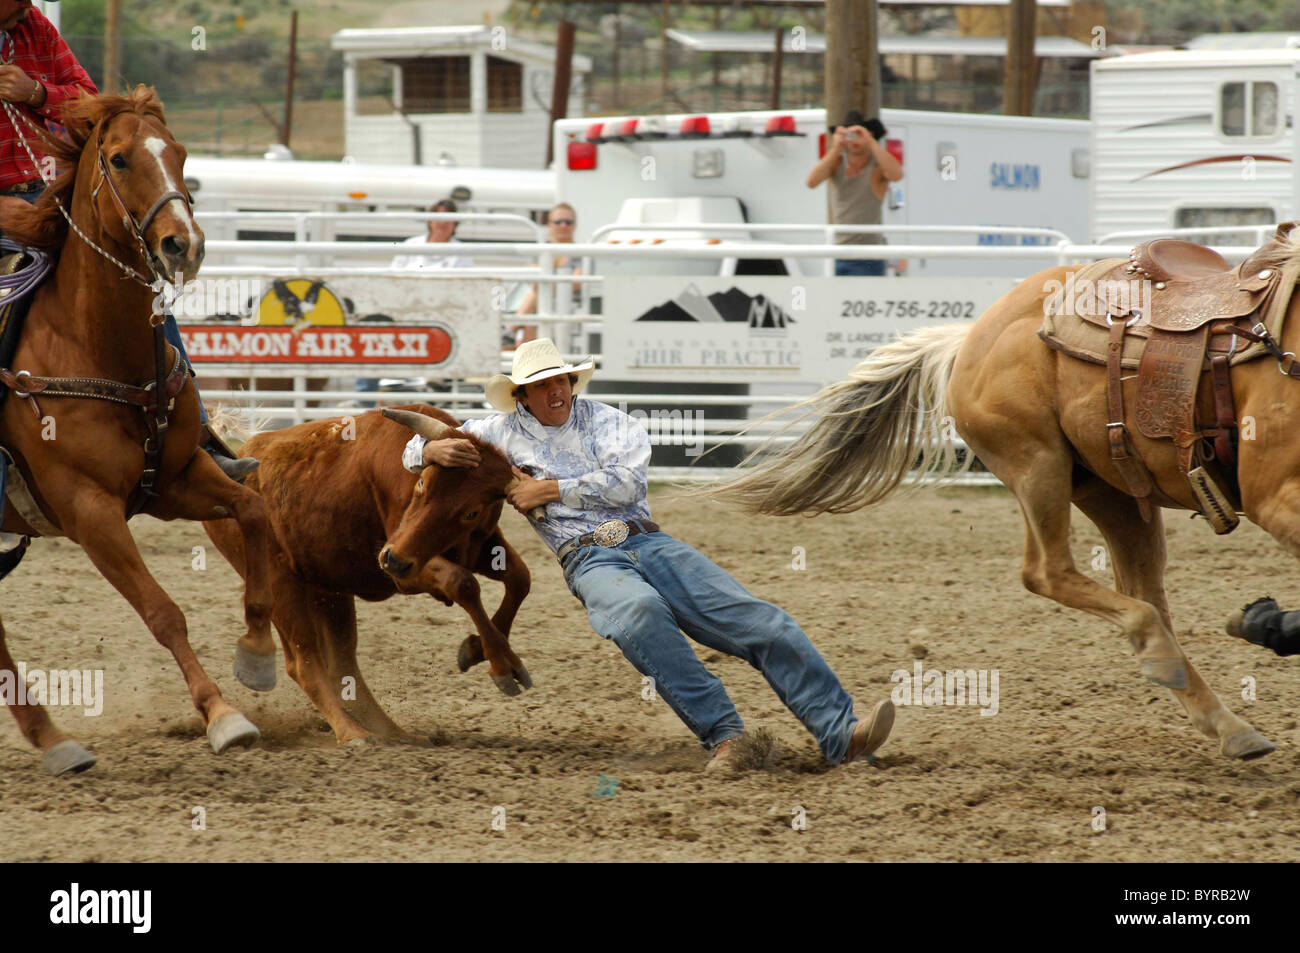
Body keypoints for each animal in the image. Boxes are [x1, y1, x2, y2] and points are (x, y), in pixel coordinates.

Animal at [0, 87, 275, 774]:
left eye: (179, 152)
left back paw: (52, 738)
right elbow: (162, 611)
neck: (95, 346)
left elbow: (255, 512)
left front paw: (257, 655)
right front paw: (223, 716)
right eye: (120, 159)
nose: (185, 245)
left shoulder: (175, 482)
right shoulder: (90, 512)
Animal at [709, 228, 1300, 762]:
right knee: (1051, 573)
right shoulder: (1272, 498)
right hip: (1039, 466)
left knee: (1142, 592)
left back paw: (1227, 723)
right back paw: (1167, 660)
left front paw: (1266, 622)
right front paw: (1266, 621)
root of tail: (971, 336)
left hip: (1112, 491)